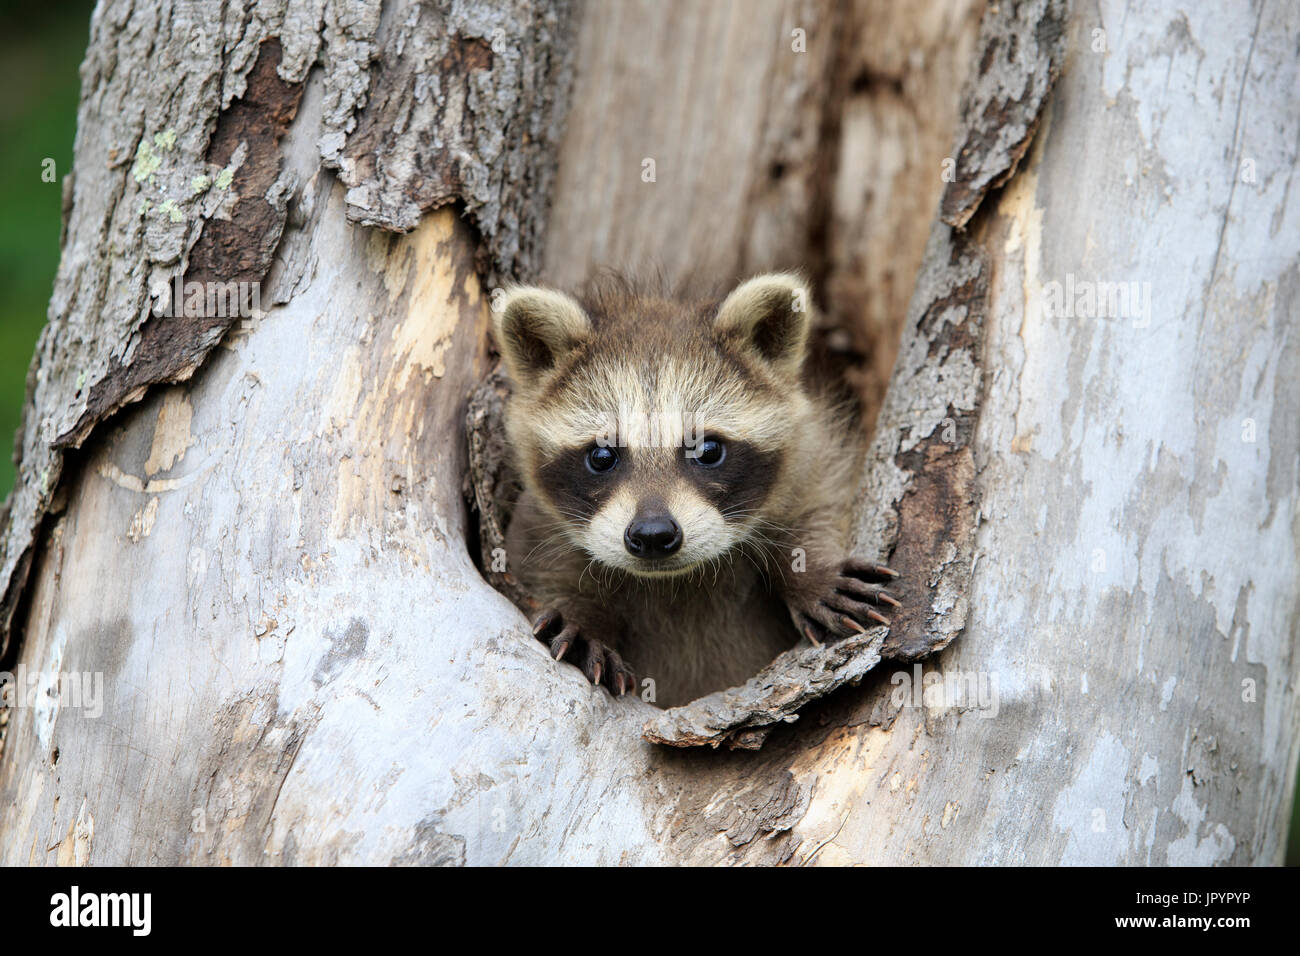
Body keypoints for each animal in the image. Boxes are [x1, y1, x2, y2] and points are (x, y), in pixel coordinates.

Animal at [492, 273, 899, 707]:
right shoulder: (535, 523)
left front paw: (811, 568)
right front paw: (582, 614)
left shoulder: (812, 455)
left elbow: (822, 496)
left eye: (707, 449)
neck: (675, 582)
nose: (653, 535)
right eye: (601, 456)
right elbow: (542, 560)